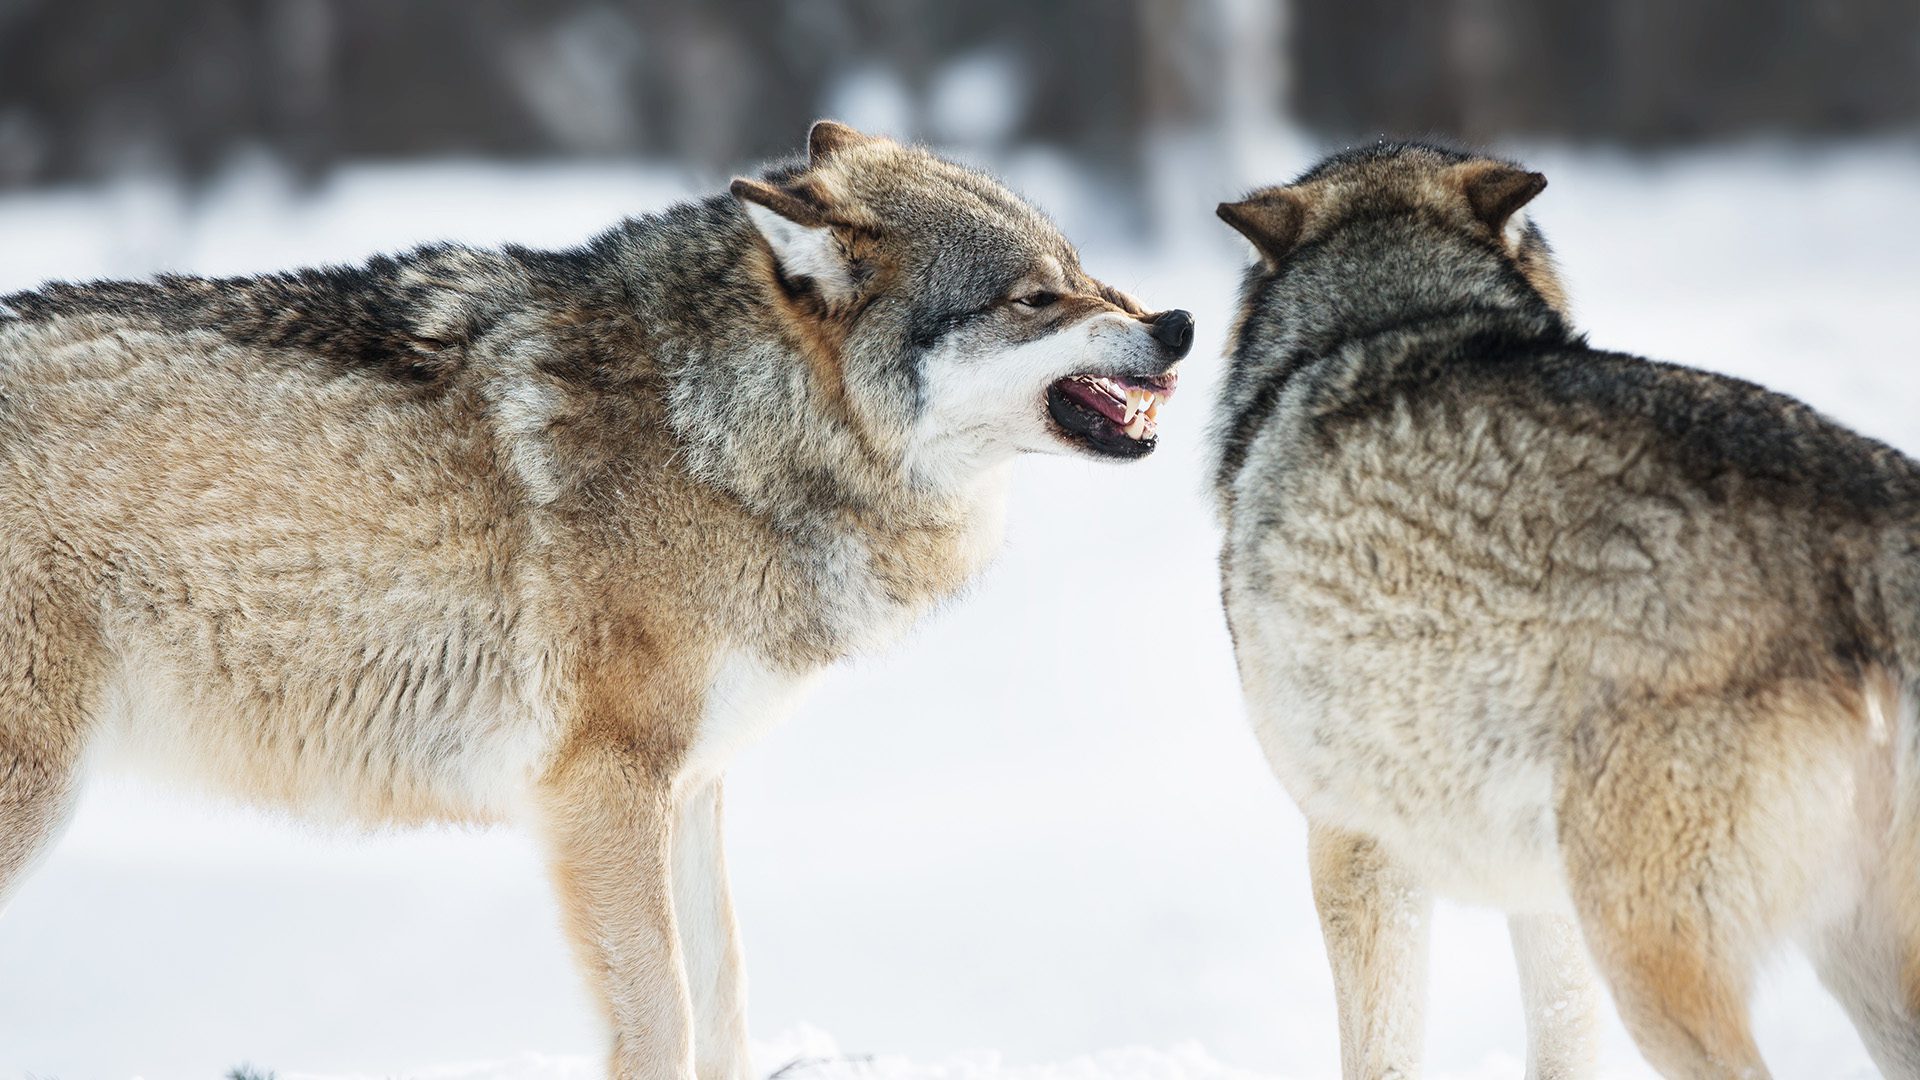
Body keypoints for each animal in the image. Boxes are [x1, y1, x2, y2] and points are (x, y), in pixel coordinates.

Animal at [0, 120, 1193, 1079]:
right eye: (1035, 297)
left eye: (1084, 272)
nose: (1180, 324)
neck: (724, 433)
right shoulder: (605, 789)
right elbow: (663, 1019)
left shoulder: (693, 787)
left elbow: (725, 1003)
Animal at [1211, 141, 1920, 1078]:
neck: (1381, 318)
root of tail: (1872, 522)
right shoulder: (1541, 890)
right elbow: (1558, 1036)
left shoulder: (1353, 845)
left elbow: (1381, 1053)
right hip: (1847, 960)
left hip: (1654, 960)